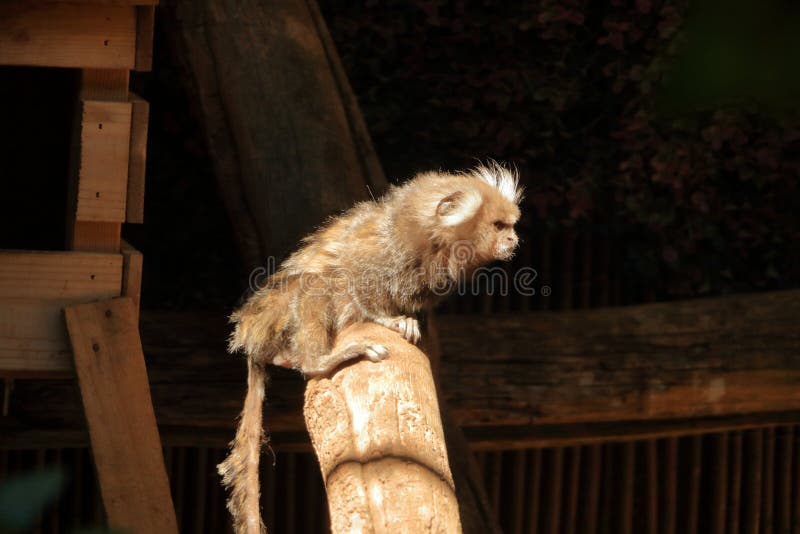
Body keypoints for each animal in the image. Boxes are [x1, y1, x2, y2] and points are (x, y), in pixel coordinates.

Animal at [218, 161, 522, 533]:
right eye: (498, 226)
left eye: (510, 226)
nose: (513, 239)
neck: (433, 240)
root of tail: (252, 339)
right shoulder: (381, 249)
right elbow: (352, 273)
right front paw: (386, 319)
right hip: (276, 319)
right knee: (314, 285)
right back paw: (318, 360)